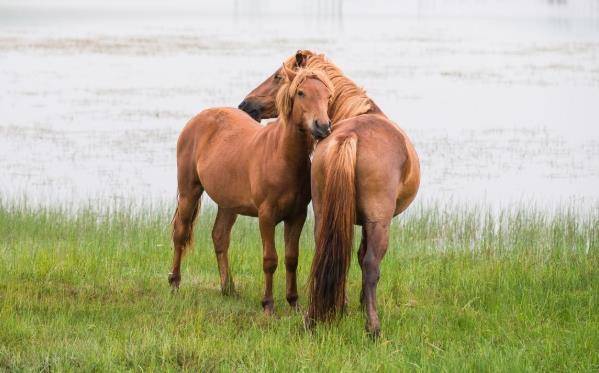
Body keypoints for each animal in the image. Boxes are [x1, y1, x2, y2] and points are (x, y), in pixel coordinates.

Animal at [171, 67, 336, 314]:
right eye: (301, 93)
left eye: (328, 96)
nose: (322, 126)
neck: (282, 156)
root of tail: (198, 118)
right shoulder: (266, 216)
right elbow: (270, 260)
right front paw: (268, 305)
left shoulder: (297, 216)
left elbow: (291, 258)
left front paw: (293, 302)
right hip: (189, 191)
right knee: (180, 233)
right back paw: (174, 283)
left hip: (228, 204)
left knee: (220, 237)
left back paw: (229, 288)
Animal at [240, 50, 422, 334]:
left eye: (278, 76)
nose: (247, 105)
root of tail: (351, 137)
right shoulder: (370, 221)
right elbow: (363, 258)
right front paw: (361, 306)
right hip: (379, 222)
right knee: (371, 265)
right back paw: (373, 326)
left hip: (324, 213)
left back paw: (319, 314)